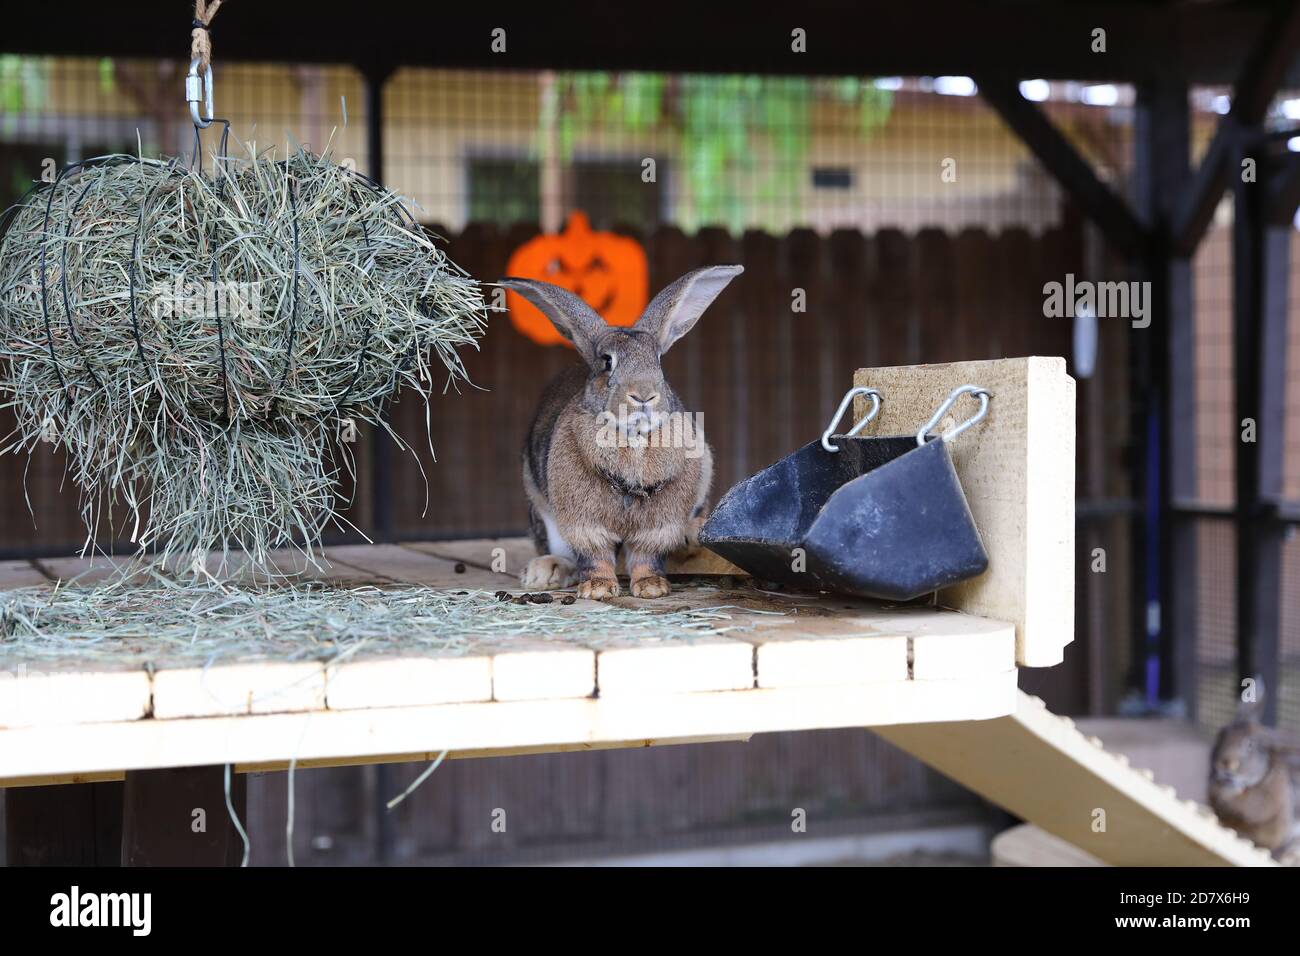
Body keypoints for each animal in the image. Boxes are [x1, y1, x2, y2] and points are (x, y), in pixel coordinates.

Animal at [498, 265, 743, 599]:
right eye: (607, 362)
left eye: (658, 361)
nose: (643, 395)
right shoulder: (583, 520)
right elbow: (594, 555)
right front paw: (598, 590)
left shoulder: (659, 522)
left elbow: (645, 555)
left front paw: (652, 588)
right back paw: (546, 571)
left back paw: (692, 535)